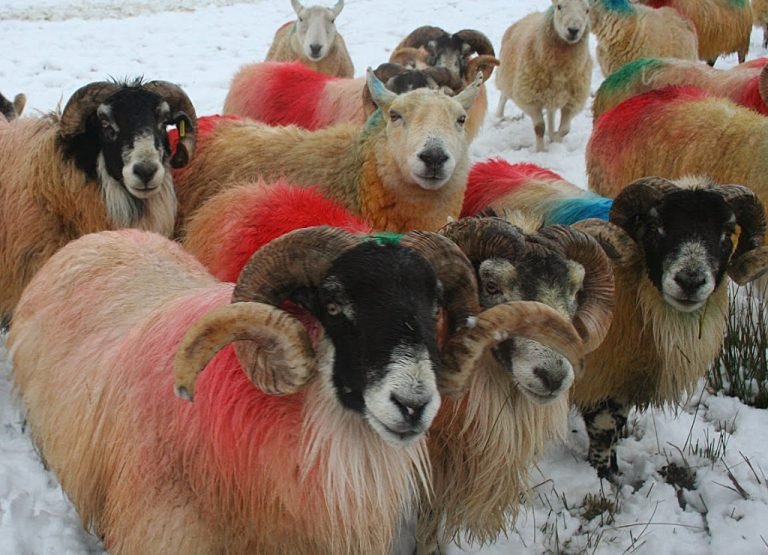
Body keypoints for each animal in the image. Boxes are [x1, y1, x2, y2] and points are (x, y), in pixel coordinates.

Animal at [495, 0, 593, 152]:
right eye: (559, 6)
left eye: (587, 10)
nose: (573, 30)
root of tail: (530, 15)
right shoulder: (531, 98)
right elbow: (539, 128)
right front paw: (541, 151)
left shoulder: (572, 101)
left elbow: (565, 130)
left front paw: (557, 144)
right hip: (506, 76)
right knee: (503, 95)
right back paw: (498, 116)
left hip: (551, 93)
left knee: (551, 113)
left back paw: (551, 134)